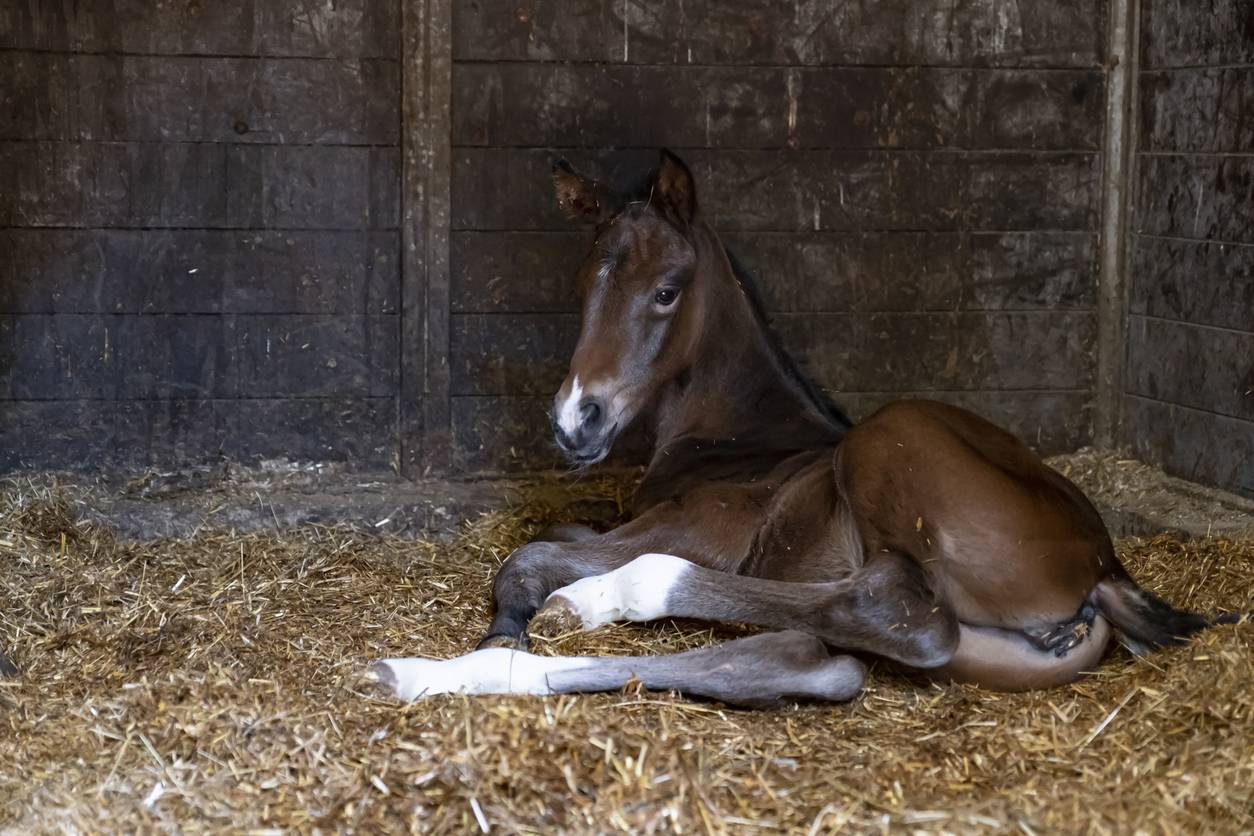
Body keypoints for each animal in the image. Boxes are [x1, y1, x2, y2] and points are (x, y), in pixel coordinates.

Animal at [373, 150, 1233, 706]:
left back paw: (590, 605)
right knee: (809, 657)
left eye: (668, 289)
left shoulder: (698, 530)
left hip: (888, 445)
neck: (737, 437)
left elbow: (528, 558)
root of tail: (1105, 568)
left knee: (887, 614)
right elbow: (555, 535)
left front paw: (508, 628)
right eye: (588, 281)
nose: (575, 419)